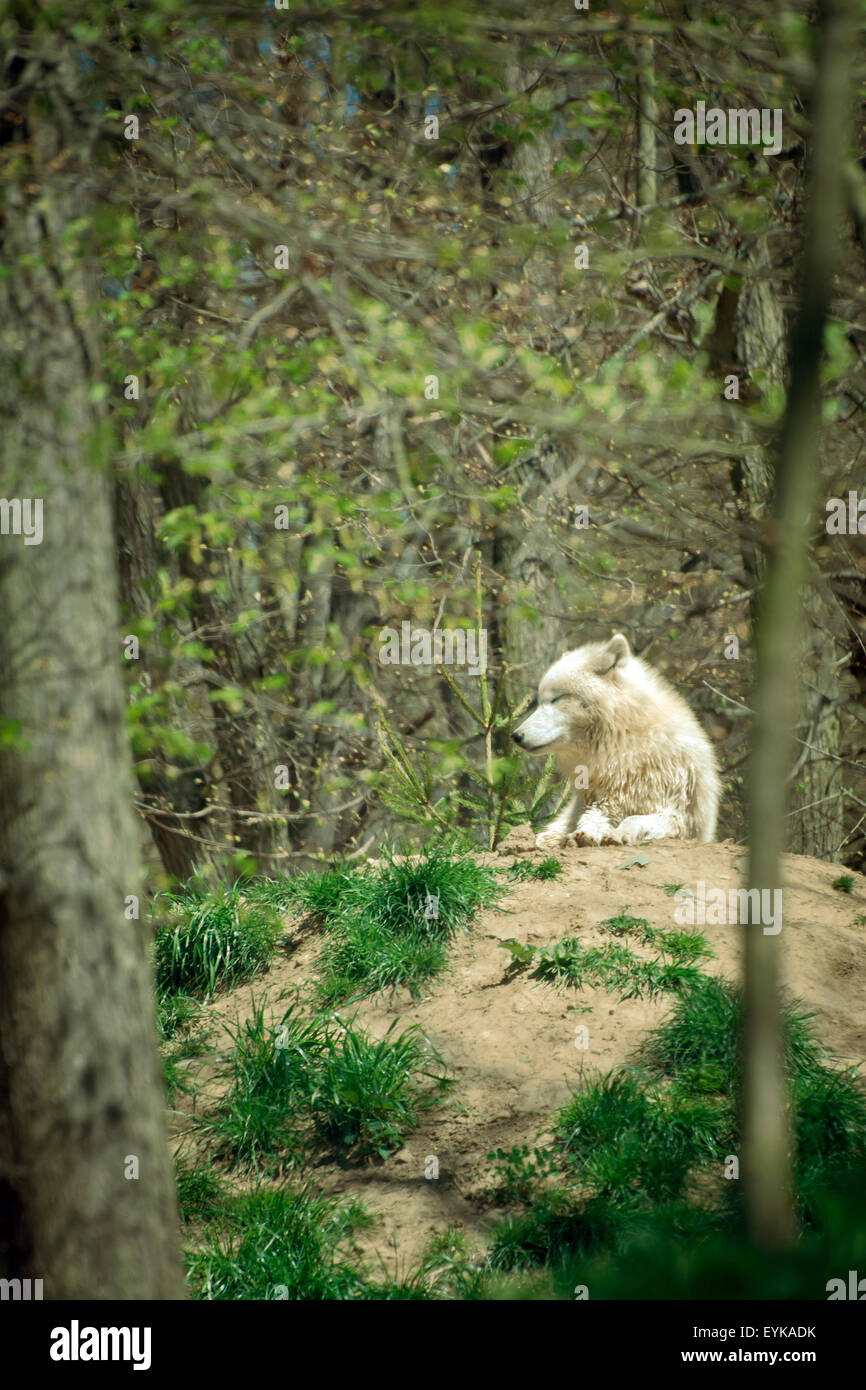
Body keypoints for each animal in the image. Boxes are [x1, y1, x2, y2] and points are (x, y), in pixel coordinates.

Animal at [512, 634, 720, 850]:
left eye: (556, 698)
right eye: (540, 701)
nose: (516, 736)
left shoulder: (676, 816)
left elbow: (633, 819)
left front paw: (616, 834)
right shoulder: (598, 802)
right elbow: (587, 820)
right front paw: (585, 835)